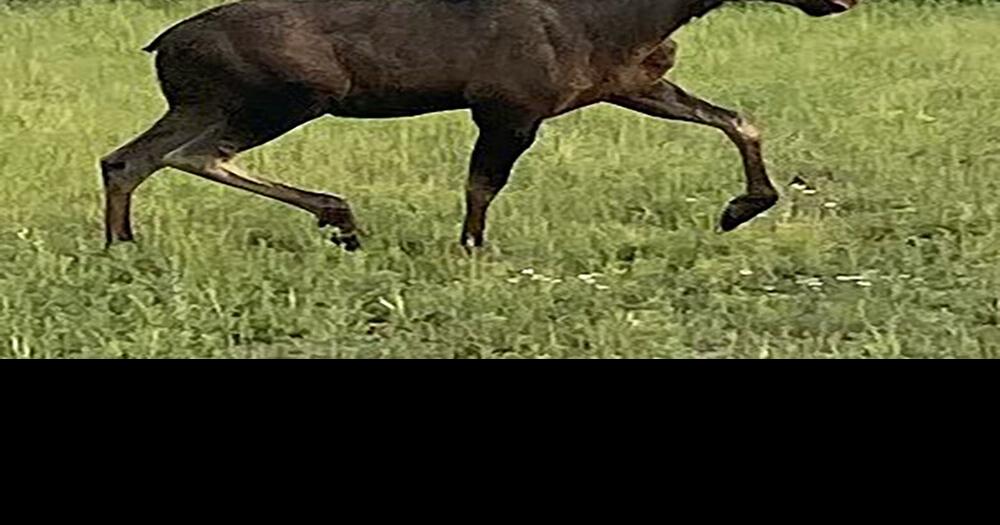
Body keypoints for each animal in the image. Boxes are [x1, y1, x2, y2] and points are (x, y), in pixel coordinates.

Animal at [100, 0, 859, 252]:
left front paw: (742, 206)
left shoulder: (628, 85)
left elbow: (739, 120)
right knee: (193, 157)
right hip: (289, 95)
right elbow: (481, 186)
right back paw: (339, 215)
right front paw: (470, 249)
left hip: (198, 101)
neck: (634, 19)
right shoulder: (509, 104)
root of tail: (161, 44)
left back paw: (122, 243)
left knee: (125, 158)